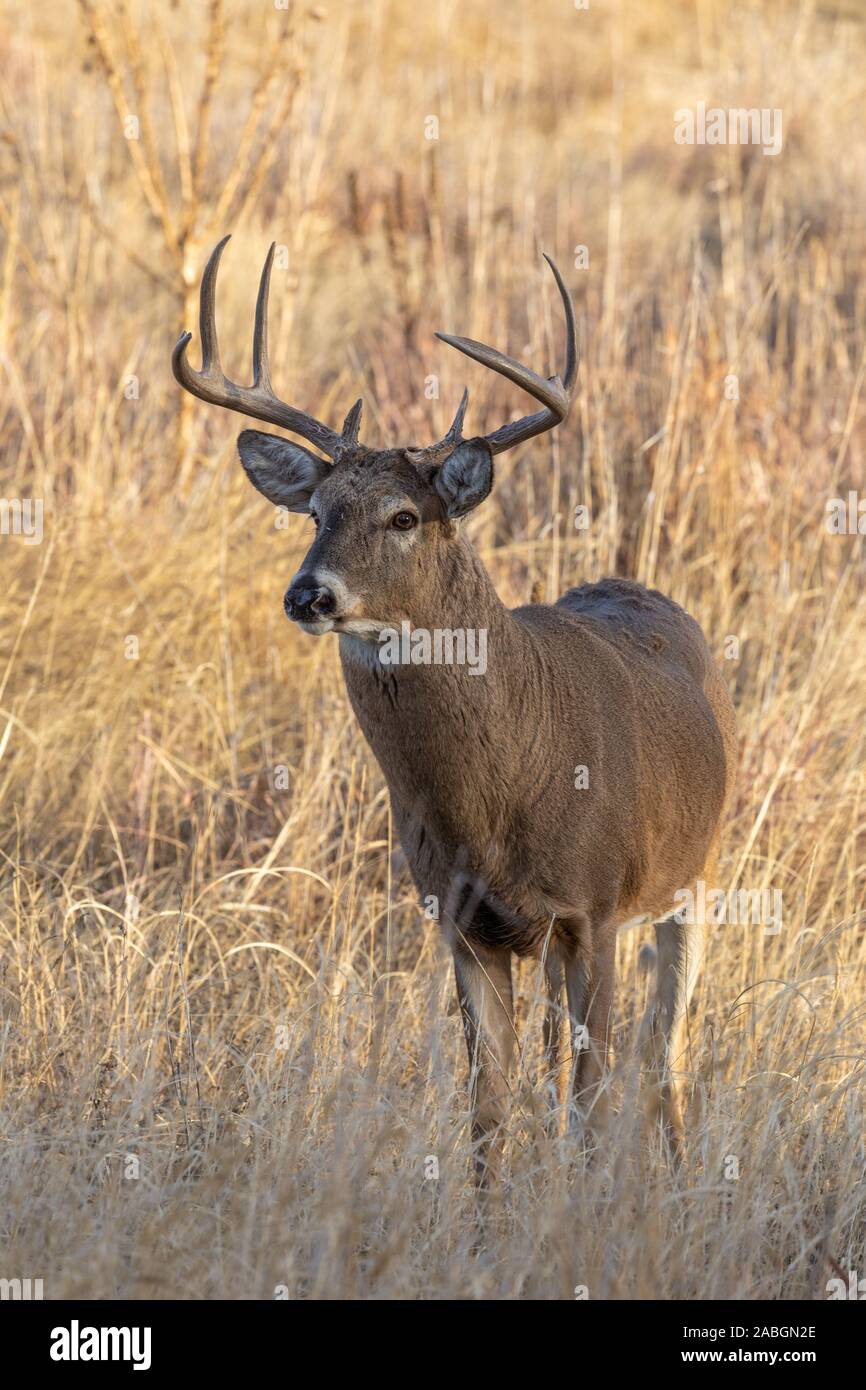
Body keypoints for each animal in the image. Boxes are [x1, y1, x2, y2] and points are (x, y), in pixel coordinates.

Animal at [173, 236, 737, 1183]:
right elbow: (489, 1110)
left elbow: (592, 1098)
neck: (506, 788)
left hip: (693, 879)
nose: (309, 593)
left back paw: (682, 1177)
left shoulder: (594, 909)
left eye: (404, 516)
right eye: (316, 512)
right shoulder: (462, 922)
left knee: (666, 1057)